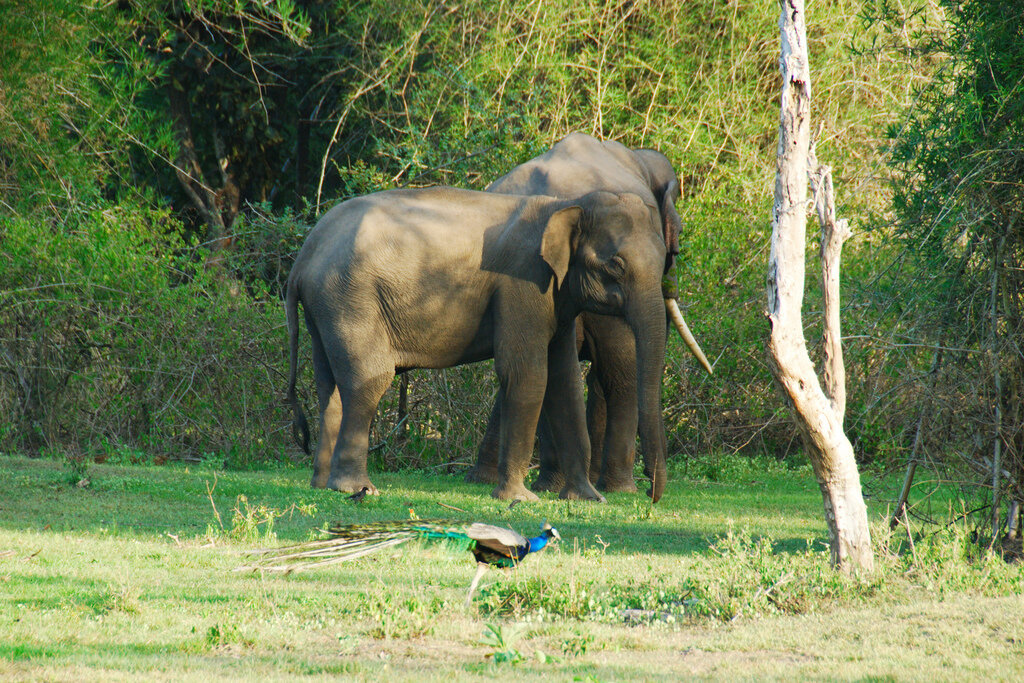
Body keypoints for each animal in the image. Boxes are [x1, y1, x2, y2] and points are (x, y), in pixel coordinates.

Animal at [285, 187, 670, 502]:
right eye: (615, 265)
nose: (652, 495)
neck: (564, 205)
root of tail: (302, 259)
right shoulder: (523, 283)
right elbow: (527, 375)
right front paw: (520, 499)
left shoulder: (556, 297)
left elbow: (565, 383)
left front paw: (588, 499)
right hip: (349, 298)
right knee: (369, 381)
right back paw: (357, 489)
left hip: (325, 308)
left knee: (330, 387)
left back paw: (321, 485)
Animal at [464, 133, 712, 500]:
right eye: (677, 245)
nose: (652, 488)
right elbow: (618, 364)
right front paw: (621, 487)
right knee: (619, 370)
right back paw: (615, 485)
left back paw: (529, 481)